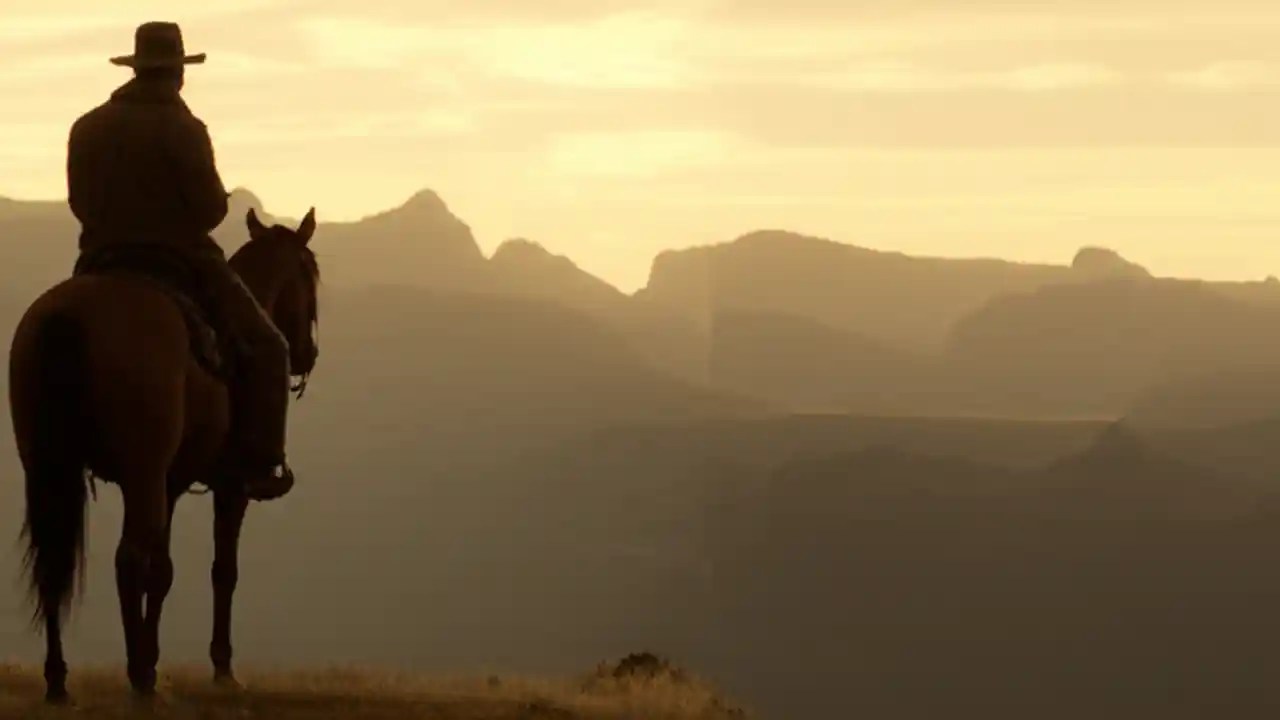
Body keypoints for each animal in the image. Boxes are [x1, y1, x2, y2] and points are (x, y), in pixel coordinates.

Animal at [8, 207, 320, 703]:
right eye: (310, 273)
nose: (308, 352)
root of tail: (67, 315)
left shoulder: (170, 484)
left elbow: (164, 570)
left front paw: (156, 658)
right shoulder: (228, 488)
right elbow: (221, 570)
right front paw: (220, 668)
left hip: (46, 466)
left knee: (53, 558)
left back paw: (59, 681)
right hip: (141, 473)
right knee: (127, 560)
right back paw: (137, 678)